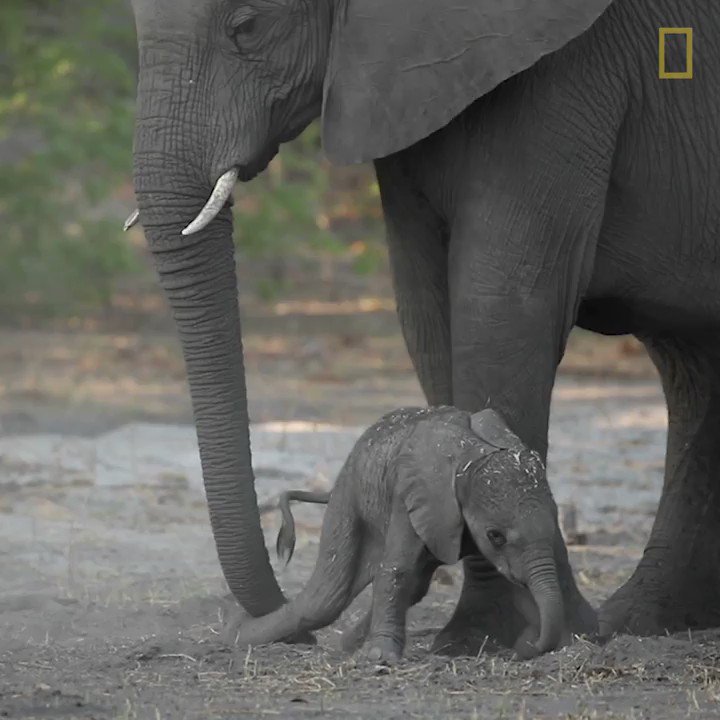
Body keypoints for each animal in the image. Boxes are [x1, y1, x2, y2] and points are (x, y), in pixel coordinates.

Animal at [224, 406, 583, 663]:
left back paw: (347, 646)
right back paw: (239, 634)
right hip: (349, 498)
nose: (526, 646)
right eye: (495, 536)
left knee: (413, 586)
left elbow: (513, 579)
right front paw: (382, 660)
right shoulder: (410, 493)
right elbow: (397, 570)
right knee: (326, 599)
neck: (470, 456)